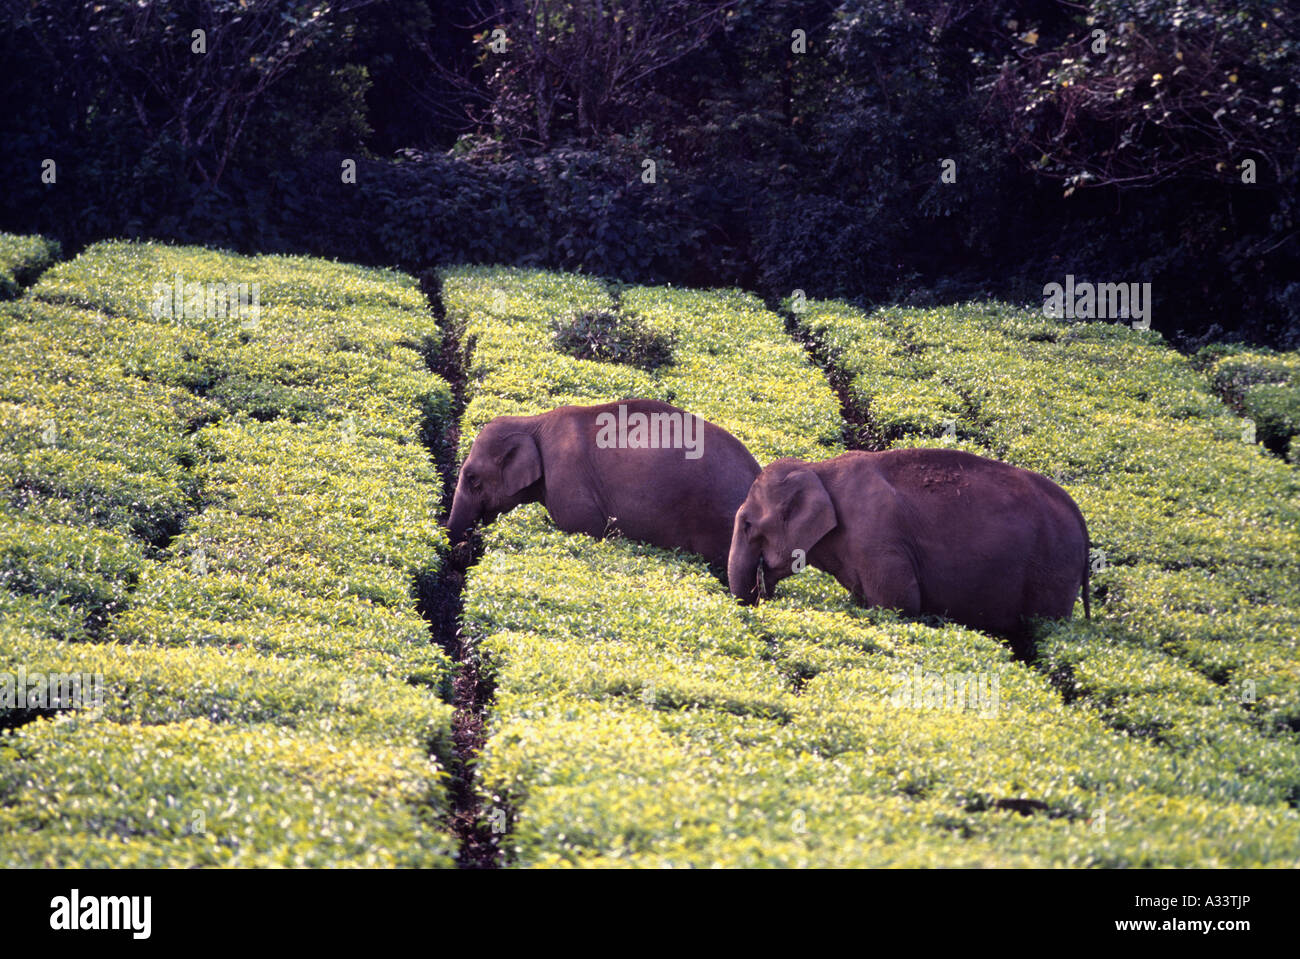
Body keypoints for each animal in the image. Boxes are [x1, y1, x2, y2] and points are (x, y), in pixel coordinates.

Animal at [447, 399, 761, 572]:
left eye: (472, 478)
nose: (463, 552)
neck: (533, 422)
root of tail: (756, 472)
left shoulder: (569, 479)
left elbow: (584, 529)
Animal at [728, 449, 1090, 653]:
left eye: (747, 525)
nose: (759, 604)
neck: (817, 468)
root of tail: (1080, 519)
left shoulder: (879, 541)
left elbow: (898, 606)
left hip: (1052, 572)